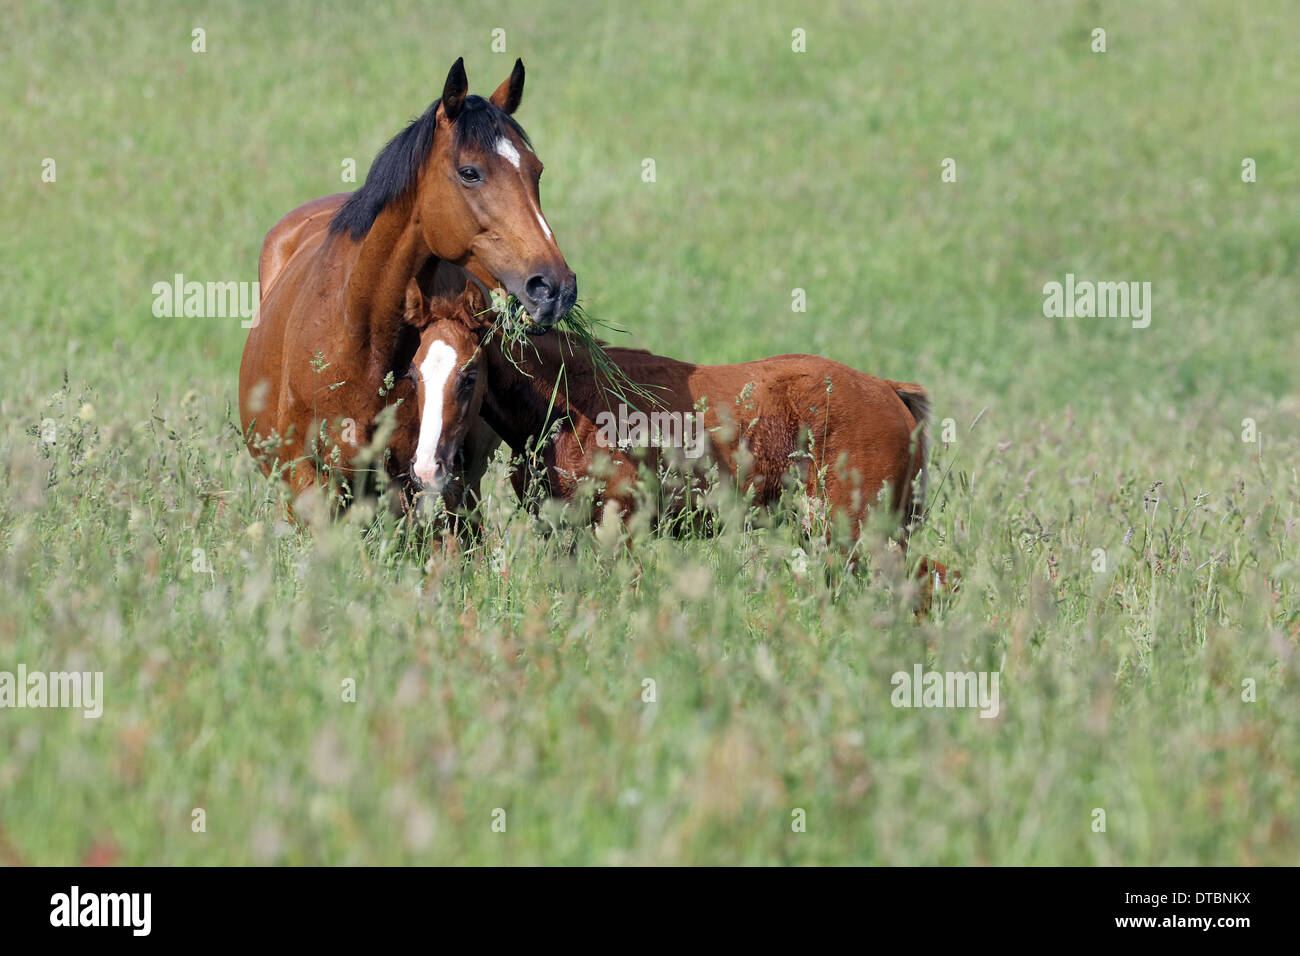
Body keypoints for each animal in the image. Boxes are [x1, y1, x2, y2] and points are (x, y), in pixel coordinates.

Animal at [401, 282, 953, 596]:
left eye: (469, 376)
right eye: (413, 374)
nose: (428, 467)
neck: (568, 405)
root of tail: (889, 390)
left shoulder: (619, 525)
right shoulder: (561, 530)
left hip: (858, 533)